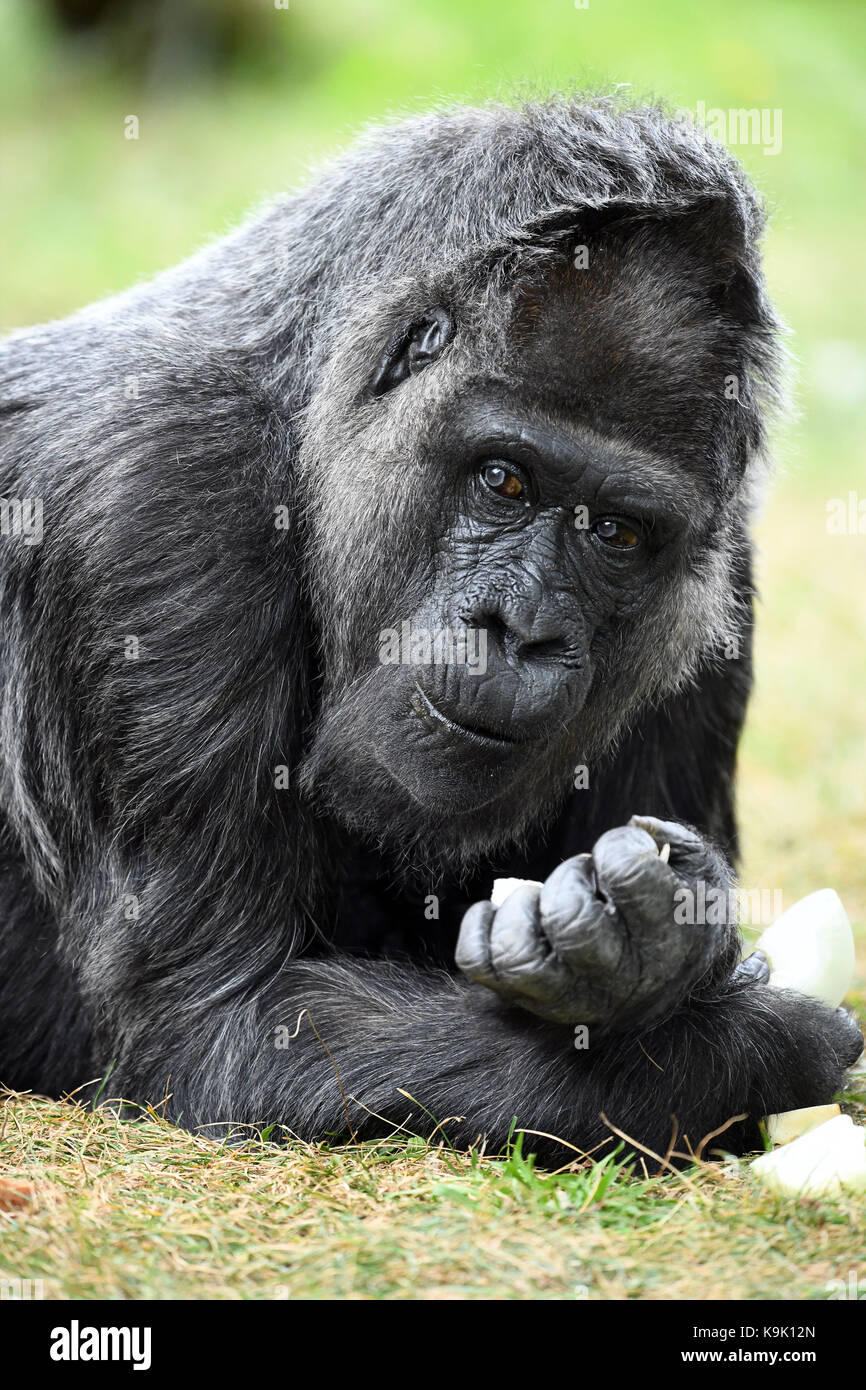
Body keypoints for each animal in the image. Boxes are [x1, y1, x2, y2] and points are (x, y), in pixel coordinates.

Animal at [0, 95, 860, 1163]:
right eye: (504, 479)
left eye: (617, 533)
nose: (521, 630)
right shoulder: (149, 501)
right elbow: (213, 1028)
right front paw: (744, 1032)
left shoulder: (721, 570)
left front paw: (652, 953)